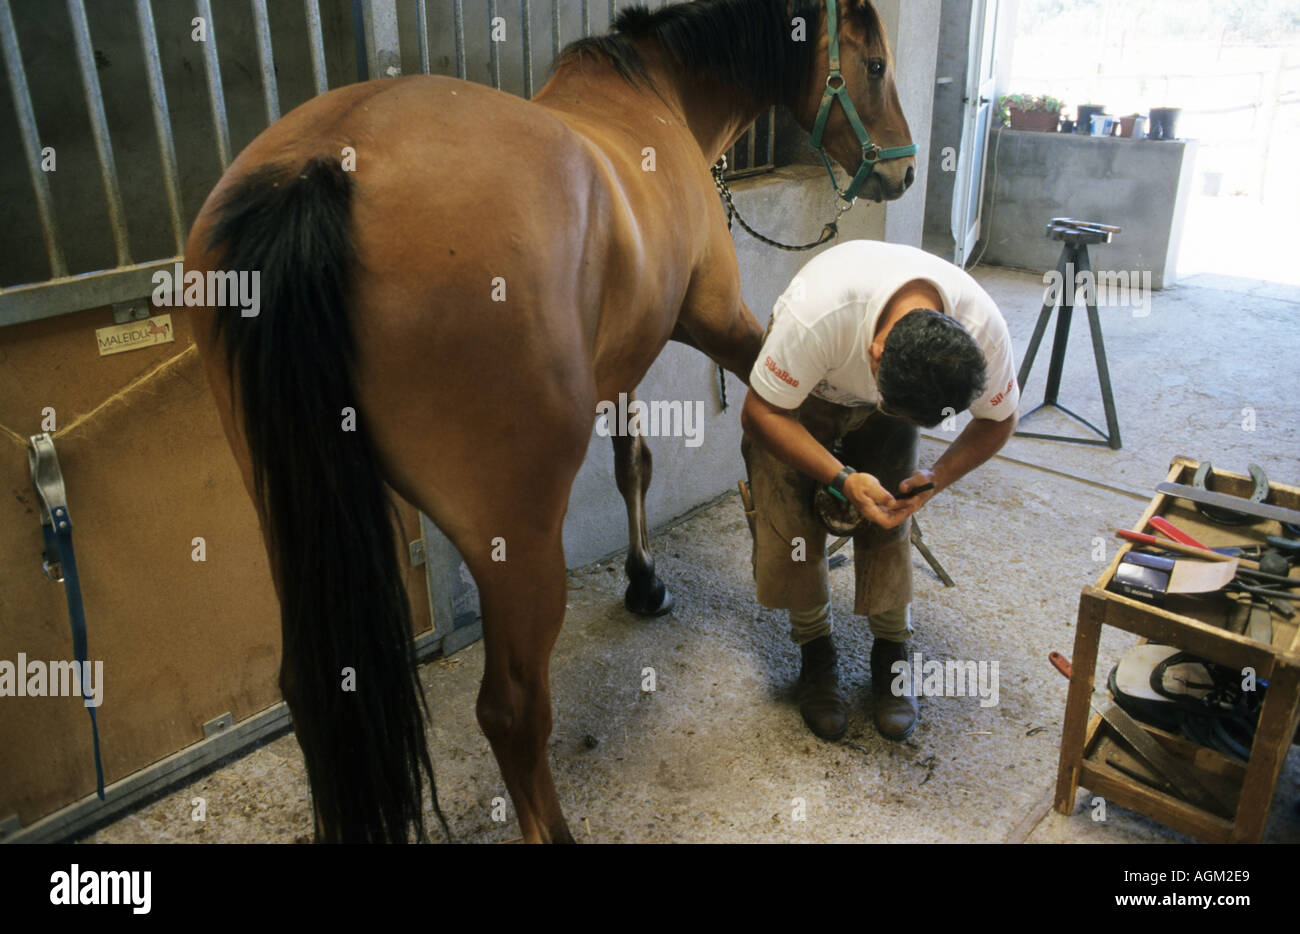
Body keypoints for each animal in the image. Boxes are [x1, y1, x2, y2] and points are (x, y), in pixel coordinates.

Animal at [186, 0, 916, 843]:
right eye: (874, 64)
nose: (904, 170)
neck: (654, 95)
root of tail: (321, 170)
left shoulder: (622, 361)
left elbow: (632, 463)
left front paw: (644, 580)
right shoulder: (716, 324)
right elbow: (792, 416)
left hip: (286, 517)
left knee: (314, 694)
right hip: (517, 538)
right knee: (512, 711)